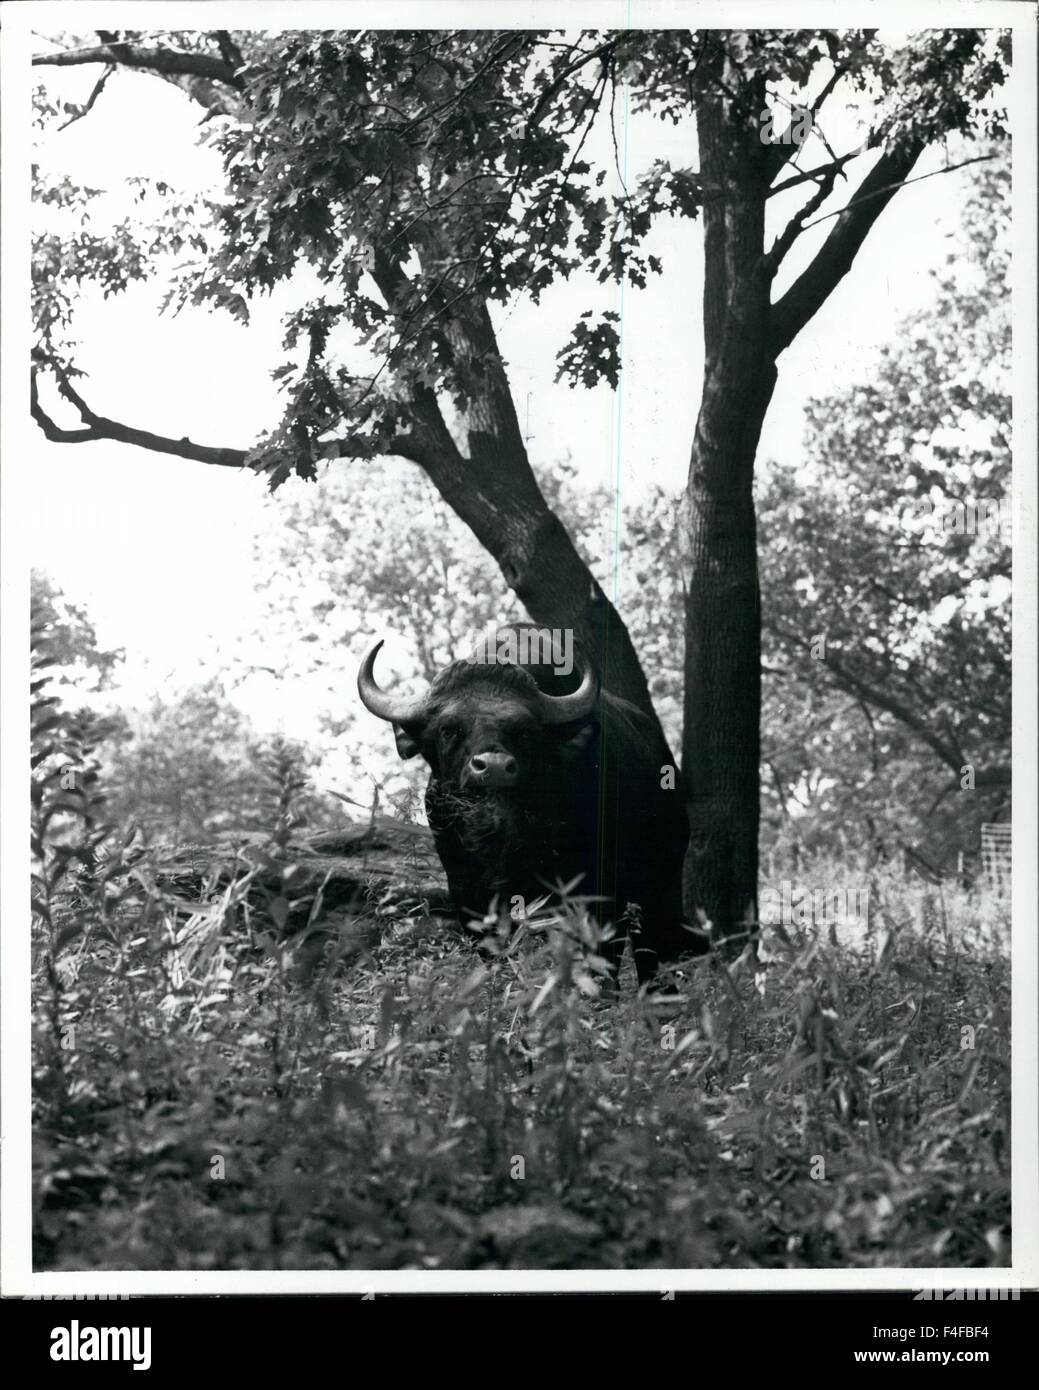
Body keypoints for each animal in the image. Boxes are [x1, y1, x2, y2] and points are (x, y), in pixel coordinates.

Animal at [357, 623, 708, 988]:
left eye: (523, 731)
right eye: (448, 729)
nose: (494, 766)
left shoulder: (593, 893)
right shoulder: (469, 893)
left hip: (662, 884)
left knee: (653, 952)